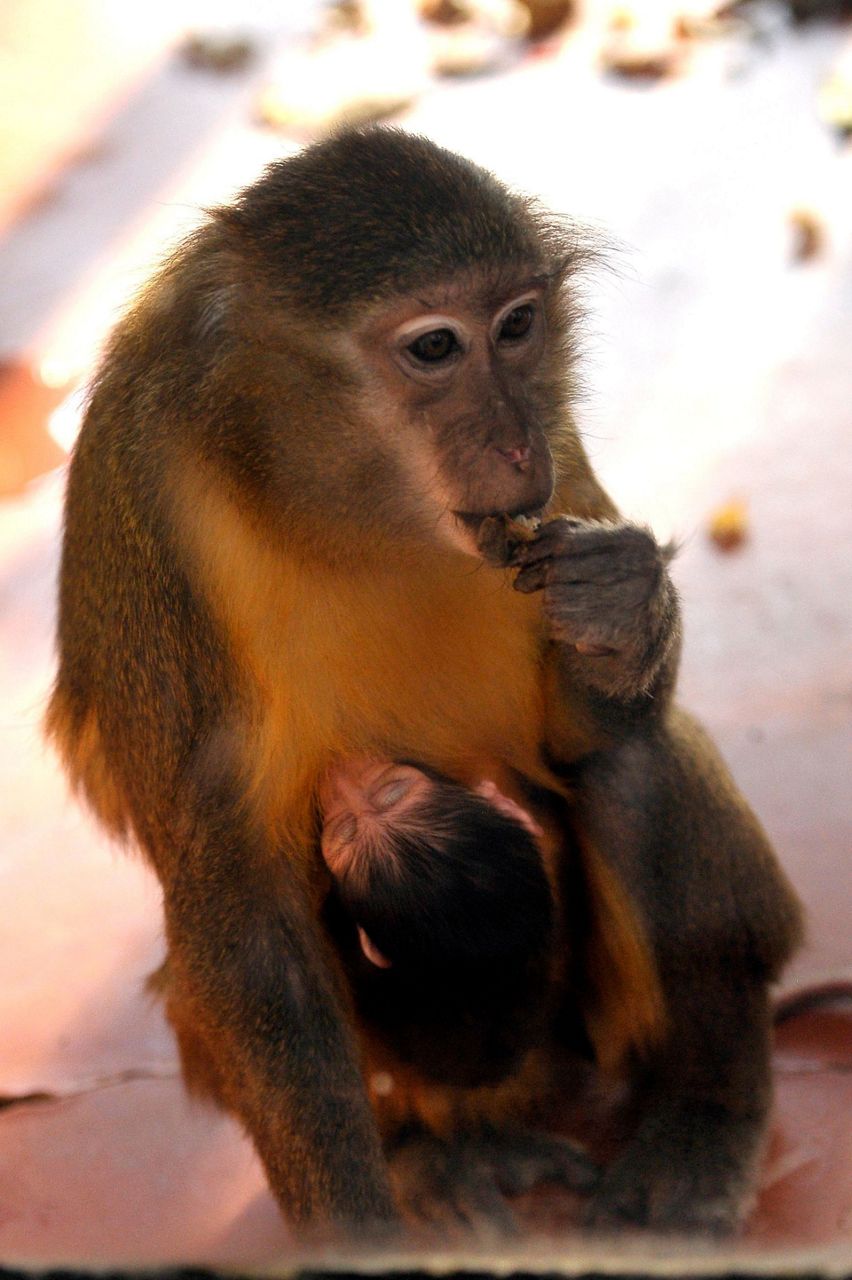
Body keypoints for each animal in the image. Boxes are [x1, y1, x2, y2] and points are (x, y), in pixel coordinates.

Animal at [47, 126, 803, 1241]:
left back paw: (710, 1104)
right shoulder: (140, 484)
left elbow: (592, 729)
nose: (516, 440)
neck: (324, 499)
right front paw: (357, 1227)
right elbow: (239, 901)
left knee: (631, 761)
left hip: (590, 1019)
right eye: (436, 349)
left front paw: (621, 613)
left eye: (518, 327)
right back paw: (431, 1148)